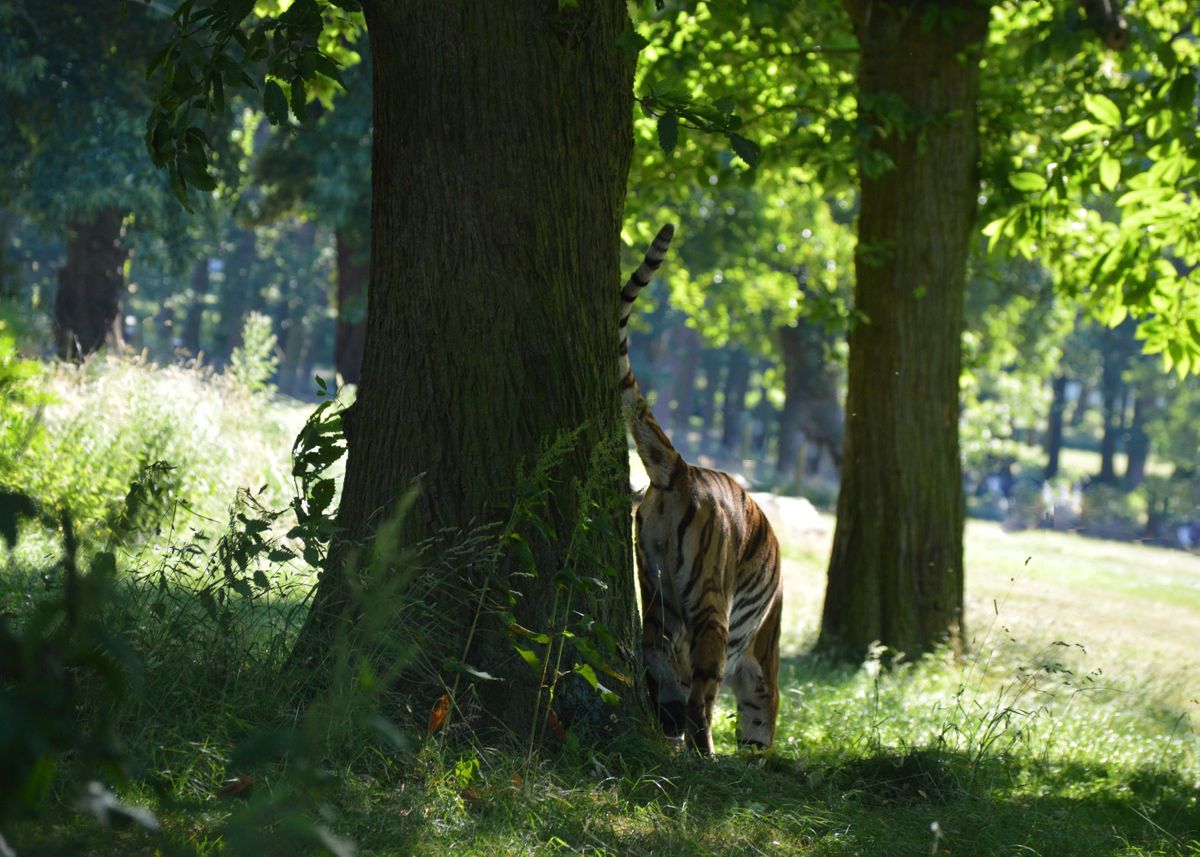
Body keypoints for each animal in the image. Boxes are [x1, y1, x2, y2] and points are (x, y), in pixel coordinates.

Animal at [618, 223, 783, 755]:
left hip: (655, 585)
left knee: (656, 650)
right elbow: (751, 704)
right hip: (711, 603)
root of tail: (682, 470)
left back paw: (672, 724)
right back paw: (703, 752)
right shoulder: (760, 659)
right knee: (699, 692)